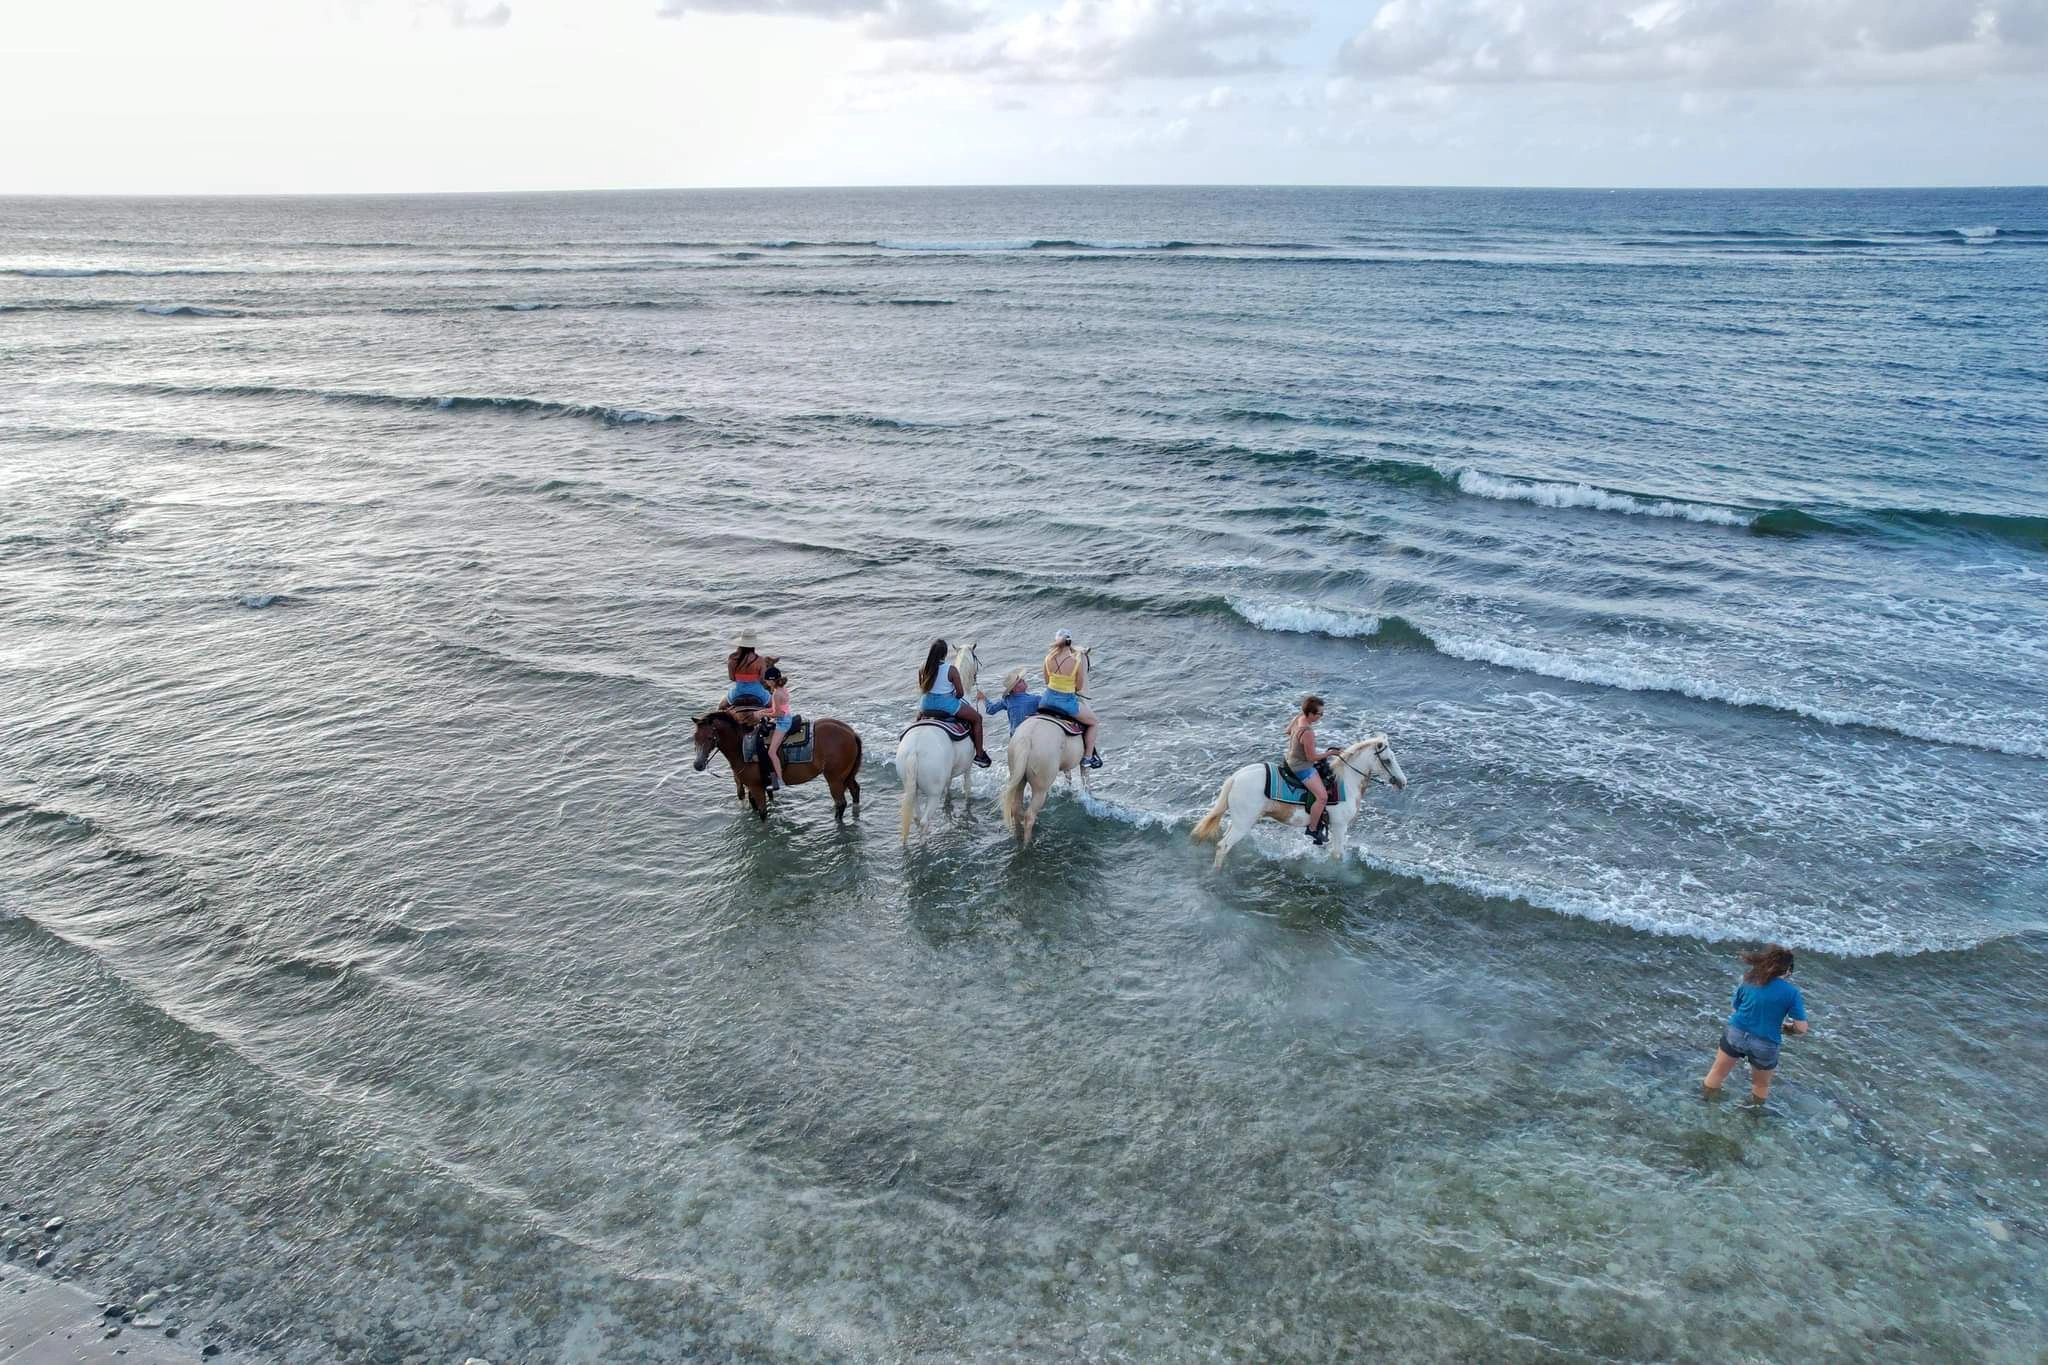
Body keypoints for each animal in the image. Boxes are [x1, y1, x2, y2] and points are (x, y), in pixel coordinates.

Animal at [693, 709, 863, 821]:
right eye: (695, 737)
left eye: (710, 737)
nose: (697, 764)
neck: (743, 747)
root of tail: (851, 733)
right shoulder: (752, 787)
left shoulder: (756, 787)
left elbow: (762, 812)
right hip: (846, 775)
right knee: (855, 791)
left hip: (835, 779)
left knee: (841, 803)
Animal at [895, 641, 981, 841]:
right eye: (975, 657)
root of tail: (914, 752)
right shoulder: (968, 767)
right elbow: (967, 788)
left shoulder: (948, 774)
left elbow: (949, 789)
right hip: (933, 793)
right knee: (924, 821)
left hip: (911, 789)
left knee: (916, 818)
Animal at [999, 647, 1091, 847]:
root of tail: (1027, 739)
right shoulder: (1083, 761)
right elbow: (1086, 779)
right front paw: (1088, 797)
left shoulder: (1067, 766)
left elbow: (1069, 778)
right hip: (1041, 787)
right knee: (1030, 815)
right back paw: (1028, 844)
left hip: (1018, 778)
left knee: (1016, 809)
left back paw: (1018, 839)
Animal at [1189, 735, 1407, 868]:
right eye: (1387, 760)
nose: (1403, 782)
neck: (1345, 782)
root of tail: (1236, 778)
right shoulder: (1339, 826)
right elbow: (1337, 855)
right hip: (1244, 823)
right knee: (1223, 845)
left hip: (1238, 821)